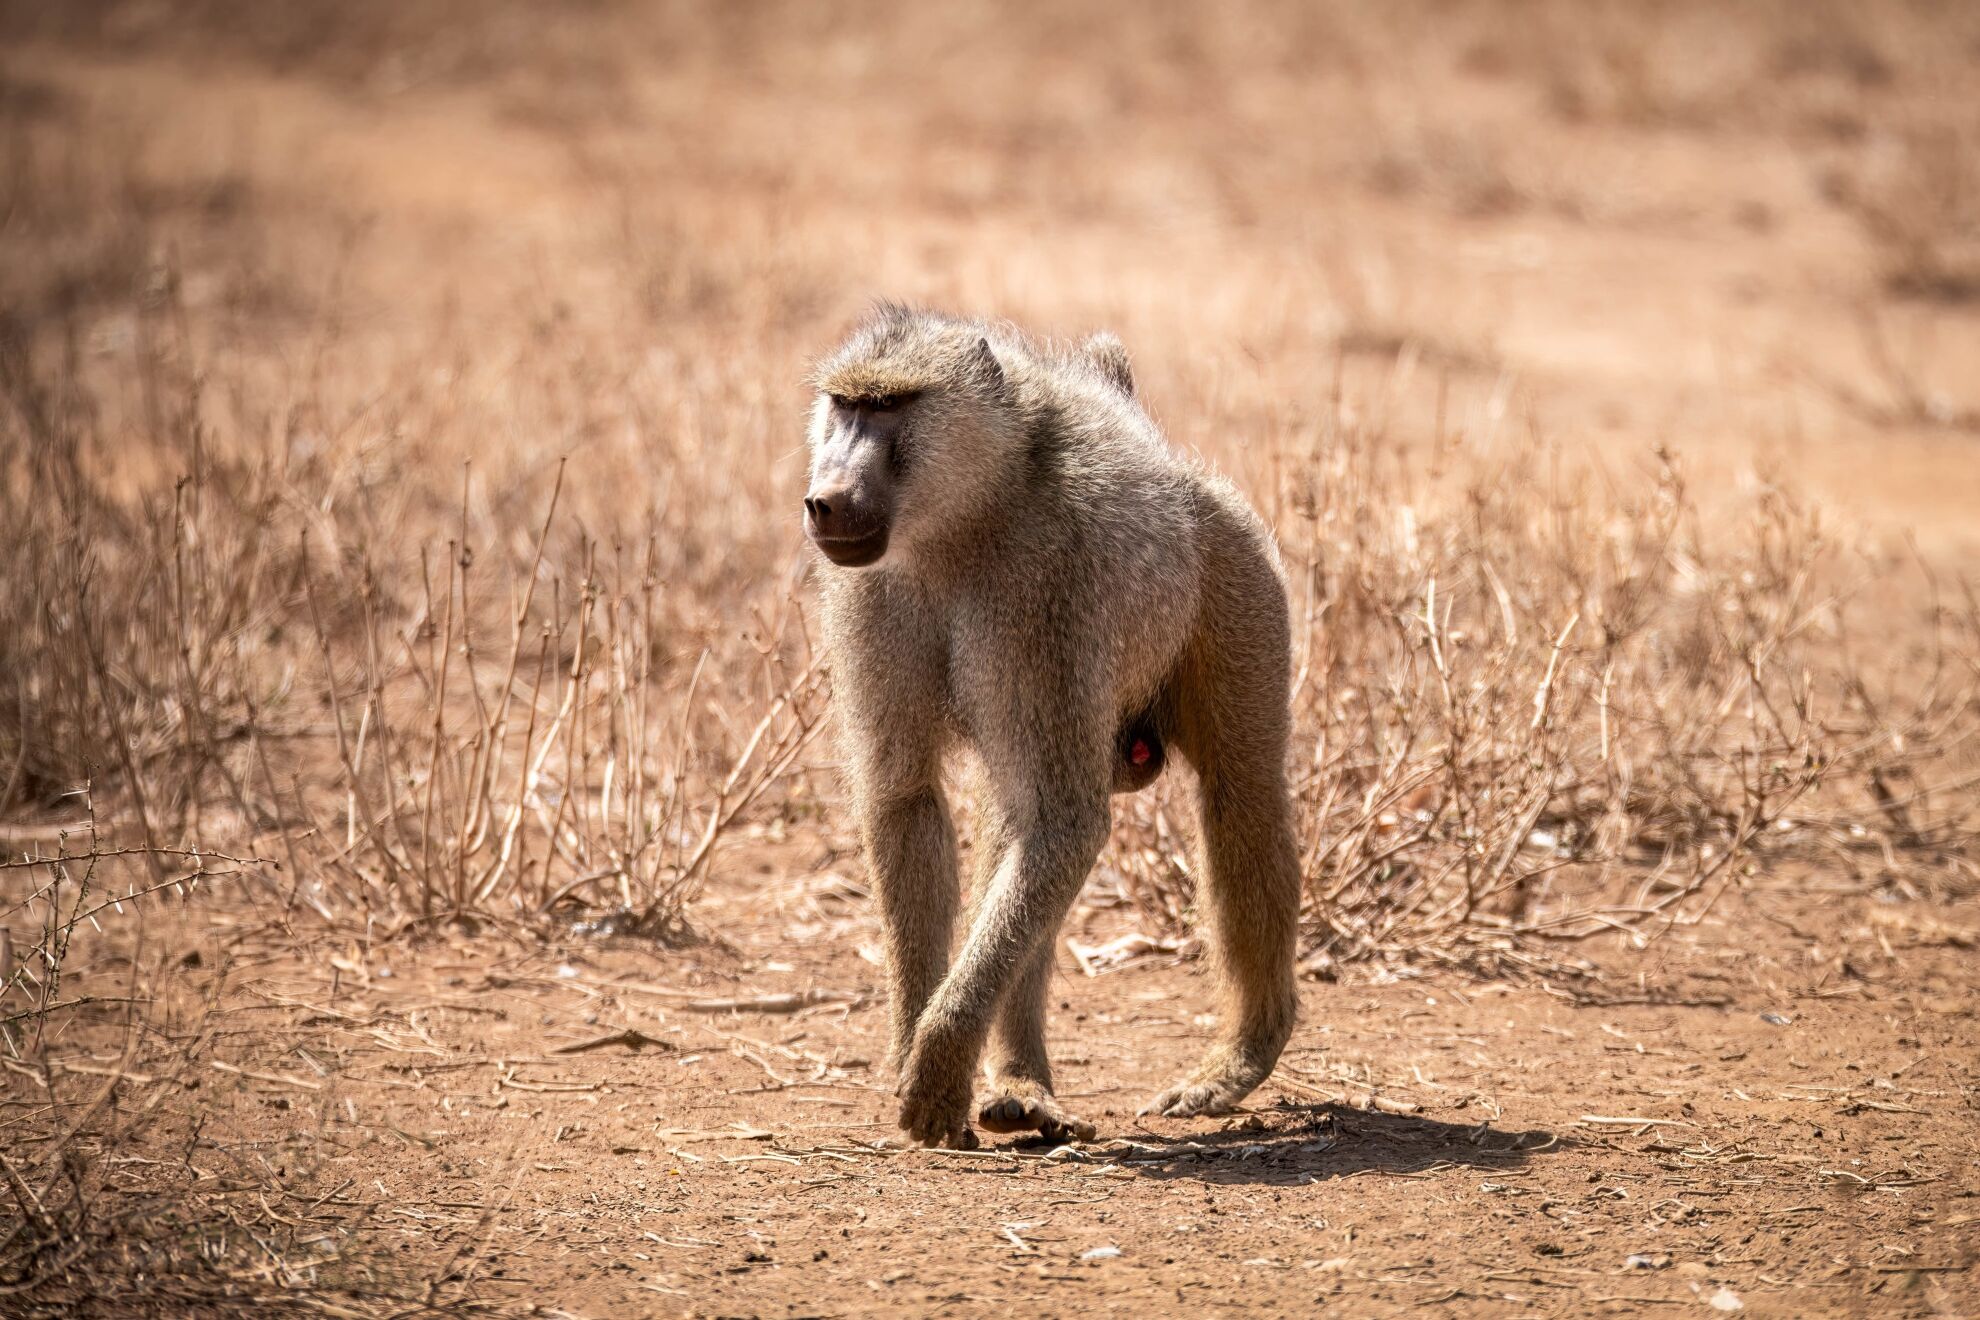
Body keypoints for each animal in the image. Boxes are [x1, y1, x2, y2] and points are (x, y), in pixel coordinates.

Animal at [803, 305, 1301, 1149]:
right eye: (846, 406)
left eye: (892, 407)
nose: (826, 499)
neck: (962, 522)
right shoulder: (871, 595)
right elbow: (907, 800)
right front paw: (912, 1044)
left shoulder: (1050, 591)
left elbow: (1066, 822)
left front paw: (939, 1057)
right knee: (1017, 817)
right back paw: (1020, 1086)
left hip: (1236, 569)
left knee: (1241, 796)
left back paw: (1241, 1058)